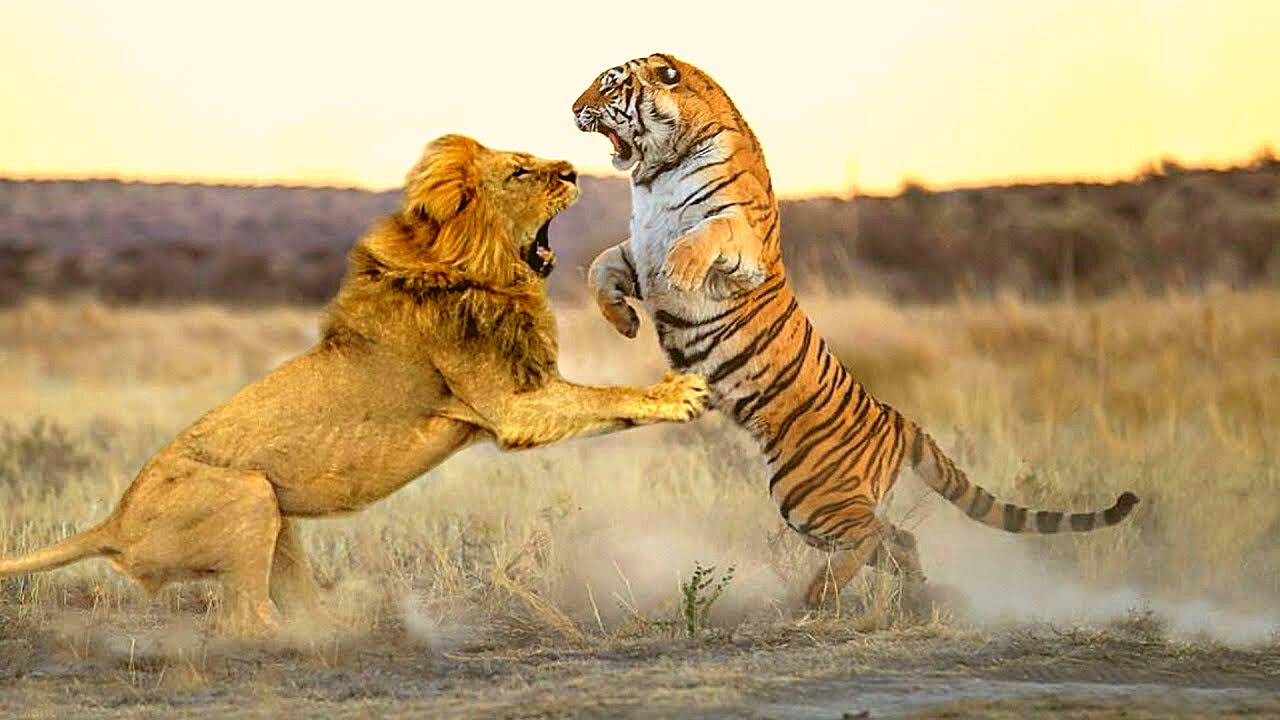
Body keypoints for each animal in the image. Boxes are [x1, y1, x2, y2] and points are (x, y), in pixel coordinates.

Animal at [0, 134, 710, 634]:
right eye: (520, 172)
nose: (571, 171)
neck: (477, 270)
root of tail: (113, 522)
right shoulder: (514, 406)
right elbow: (604, 398)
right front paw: (679, 392)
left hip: (276, 516)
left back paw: (343, 622)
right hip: (246, 495)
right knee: (246, 623)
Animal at [571, 53, 1140, 610]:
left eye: (610, 85)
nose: (572, 108)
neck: (658, 170)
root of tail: (898, 420)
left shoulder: (744, 244)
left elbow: (708, 234)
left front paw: (680, 271)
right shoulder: (635, 250)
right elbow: (600, 266)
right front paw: (623, 320)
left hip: (807, 493)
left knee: (872, 535)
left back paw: (818, 597)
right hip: (816, 503)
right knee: (897, 537)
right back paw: (913, 596)